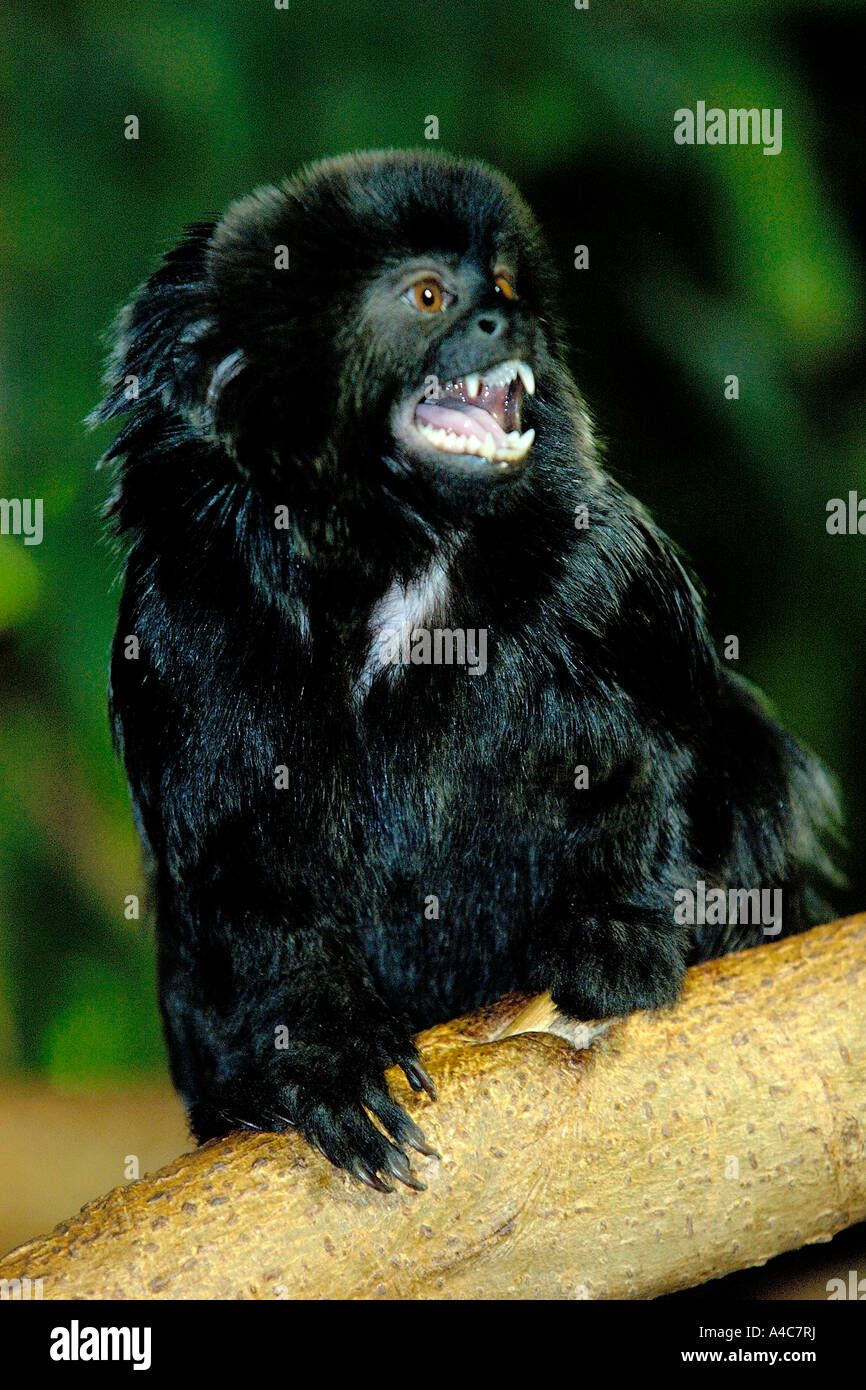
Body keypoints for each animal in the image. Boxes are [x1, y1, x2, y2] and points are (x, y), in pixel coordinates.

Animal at [95, 149, 841, 1192]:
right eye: (428, 296)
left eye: (506, 289)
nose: (505, 323)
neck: (390, 562)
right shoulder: (175, 623)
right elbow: (240, 876)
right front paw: (320, 1061)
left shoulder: (608, 568)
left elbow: (676, 750)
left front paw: (625, 928)